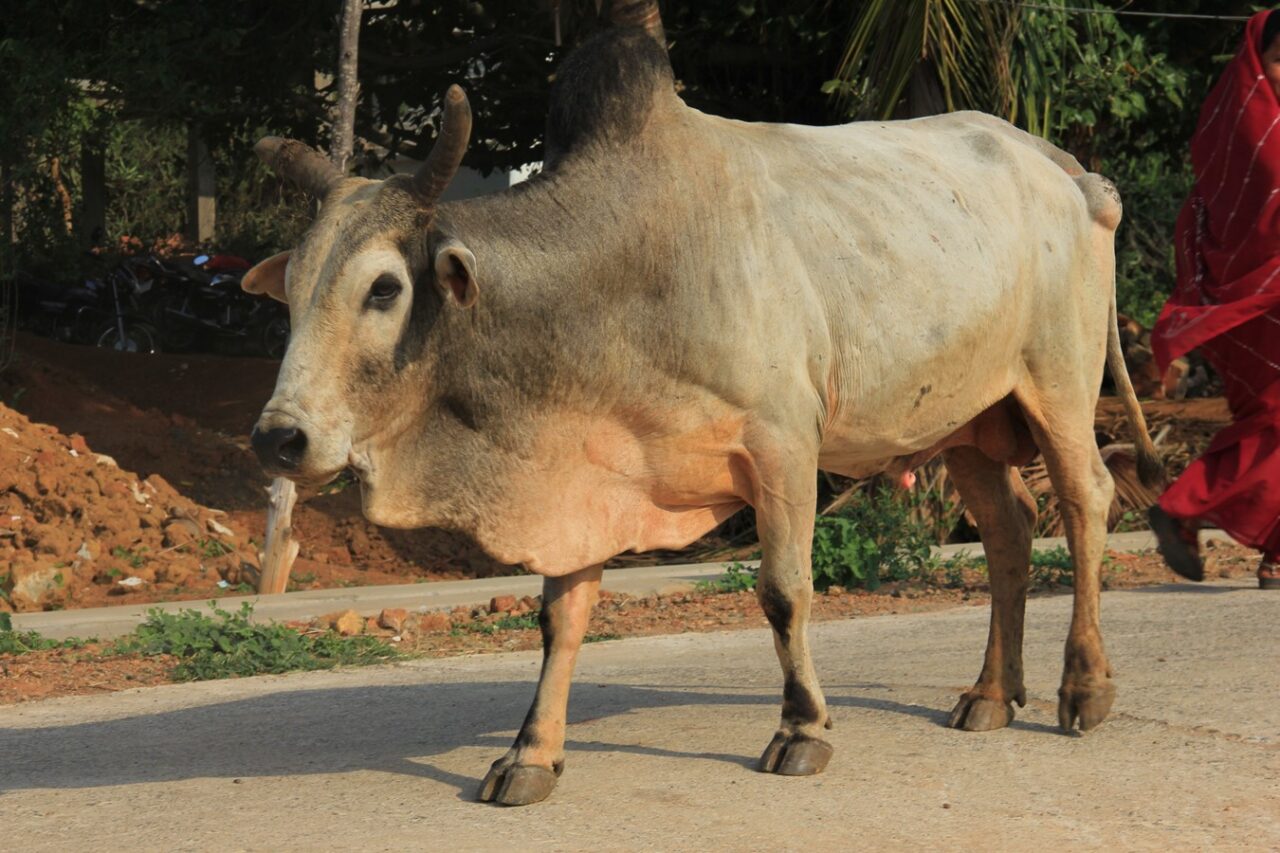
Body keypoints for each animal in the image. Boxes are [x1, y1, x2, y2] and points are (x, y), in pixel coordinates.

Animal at [243, 1, 1162, 806]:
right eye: (293, 287)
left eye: (384, 287)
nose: (280, 438)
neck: (621, 278)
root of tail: (1058, 164)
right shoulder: (587, 471)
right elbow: (561, 616)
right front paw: (531, 754)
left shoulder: (783, 444)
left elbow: (785, 590)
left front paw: (802, 729)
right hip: (968, 419)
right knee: (1009, 528)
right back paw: (991, 694)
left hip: (1059, 386)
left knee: (1087, 501)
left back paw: (1084, 686)